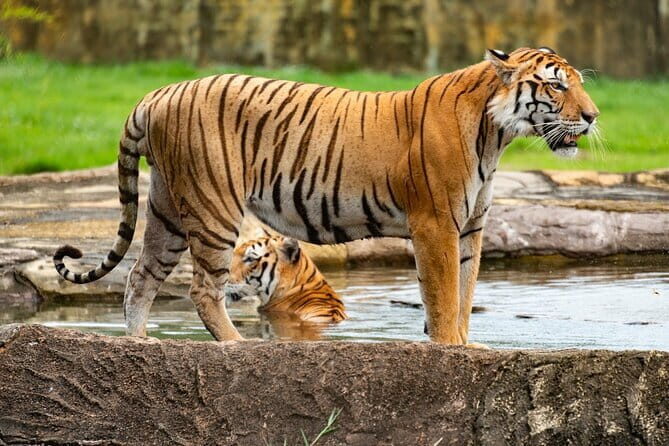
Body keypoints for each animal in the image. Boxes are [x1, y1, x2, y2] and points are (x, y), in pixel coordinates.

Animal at [53, 46, 599, 344]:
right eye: (556, 87)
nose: (593, 116)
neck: (496, 133)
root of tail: (156, 94)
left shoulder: (470, 228)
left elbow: (464, 297)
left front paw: (466, 347)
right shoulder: (436, 224)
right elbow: (443, 299)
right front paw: (450, 350)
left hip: (167, 206)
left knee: (140, 277)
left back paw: (140, 344)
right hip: (212, 205)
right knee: (203, 288)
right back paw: (236, 346)